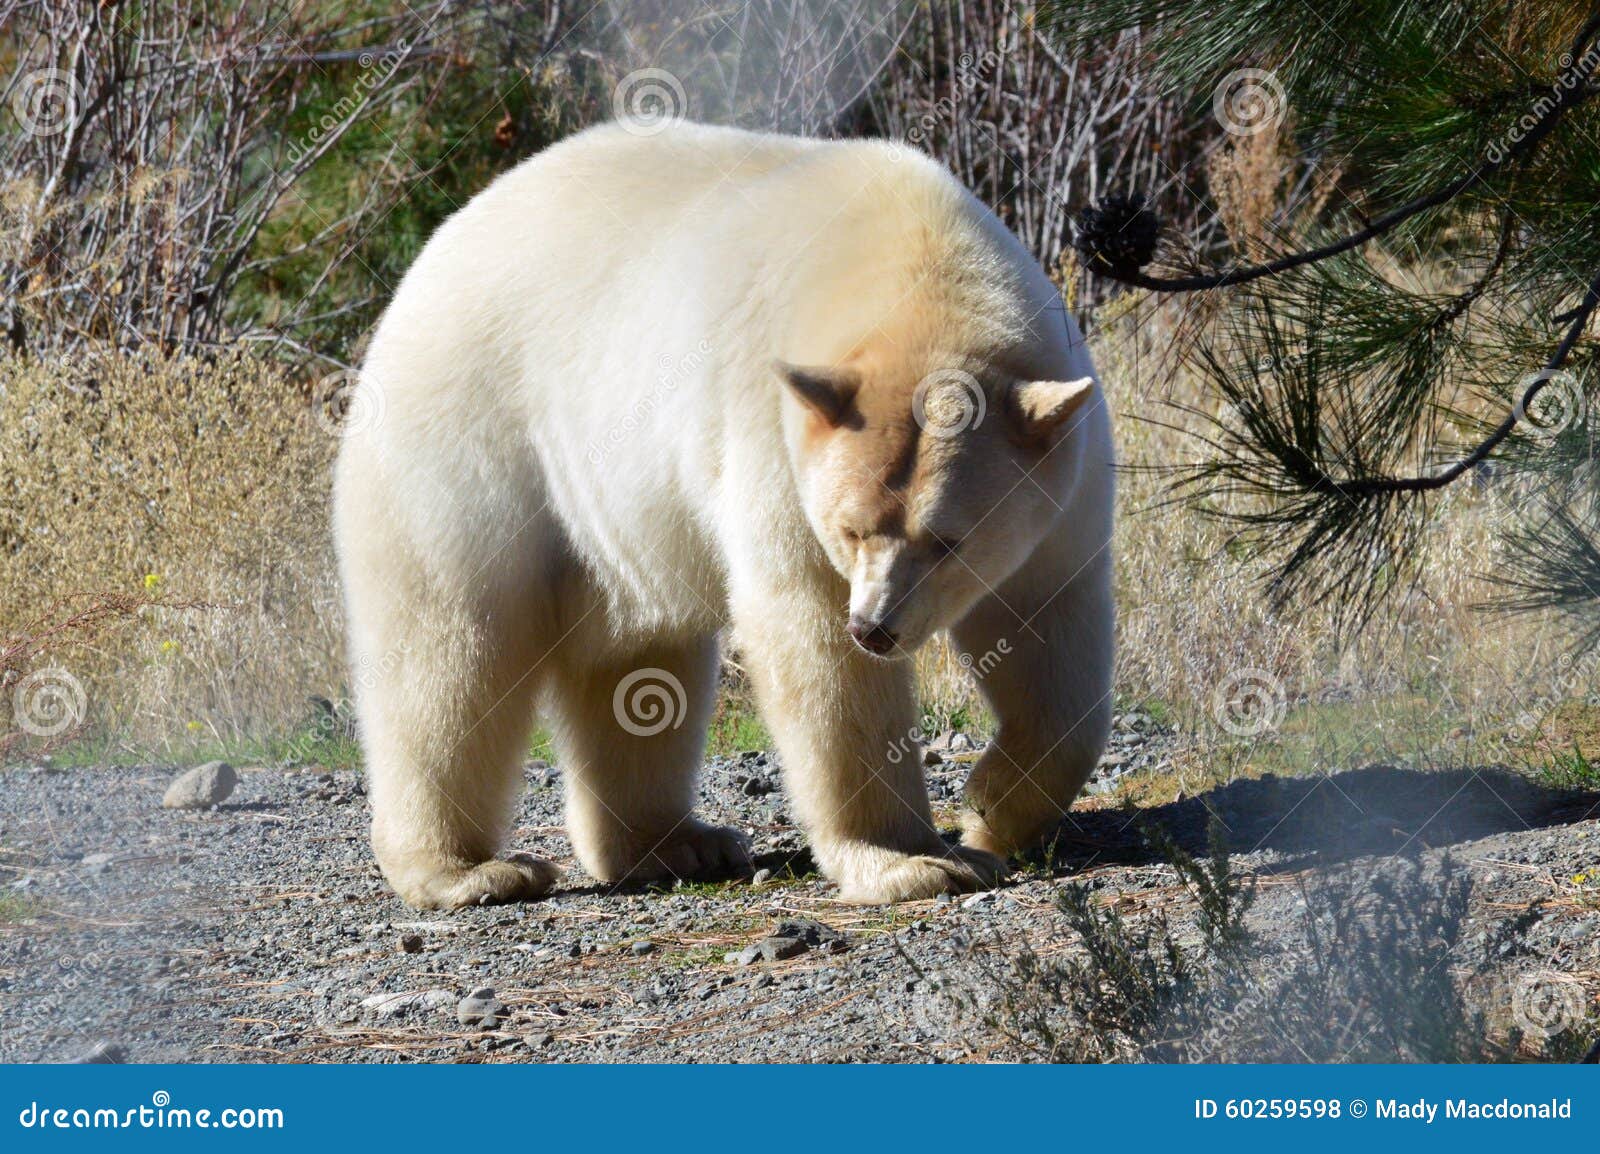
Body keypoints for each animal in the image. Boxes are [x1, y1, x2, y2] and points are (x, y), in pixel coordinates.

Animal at [333, 120, 1114, 910]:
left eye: (951, 540)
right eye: (851, 528)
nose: (876, 628)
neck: (912, 258)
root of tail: (431, 256)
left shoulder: (1064, 488)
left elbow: (1047, 627)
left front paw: (992, 812)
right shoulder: (770, 435)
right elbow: (811, 633)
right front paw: (913, 860)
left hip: (615, 524)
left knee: (635, 666)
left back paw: (675, 843)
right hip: (473, 445)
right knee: (451, 646)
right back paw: (467, 869)